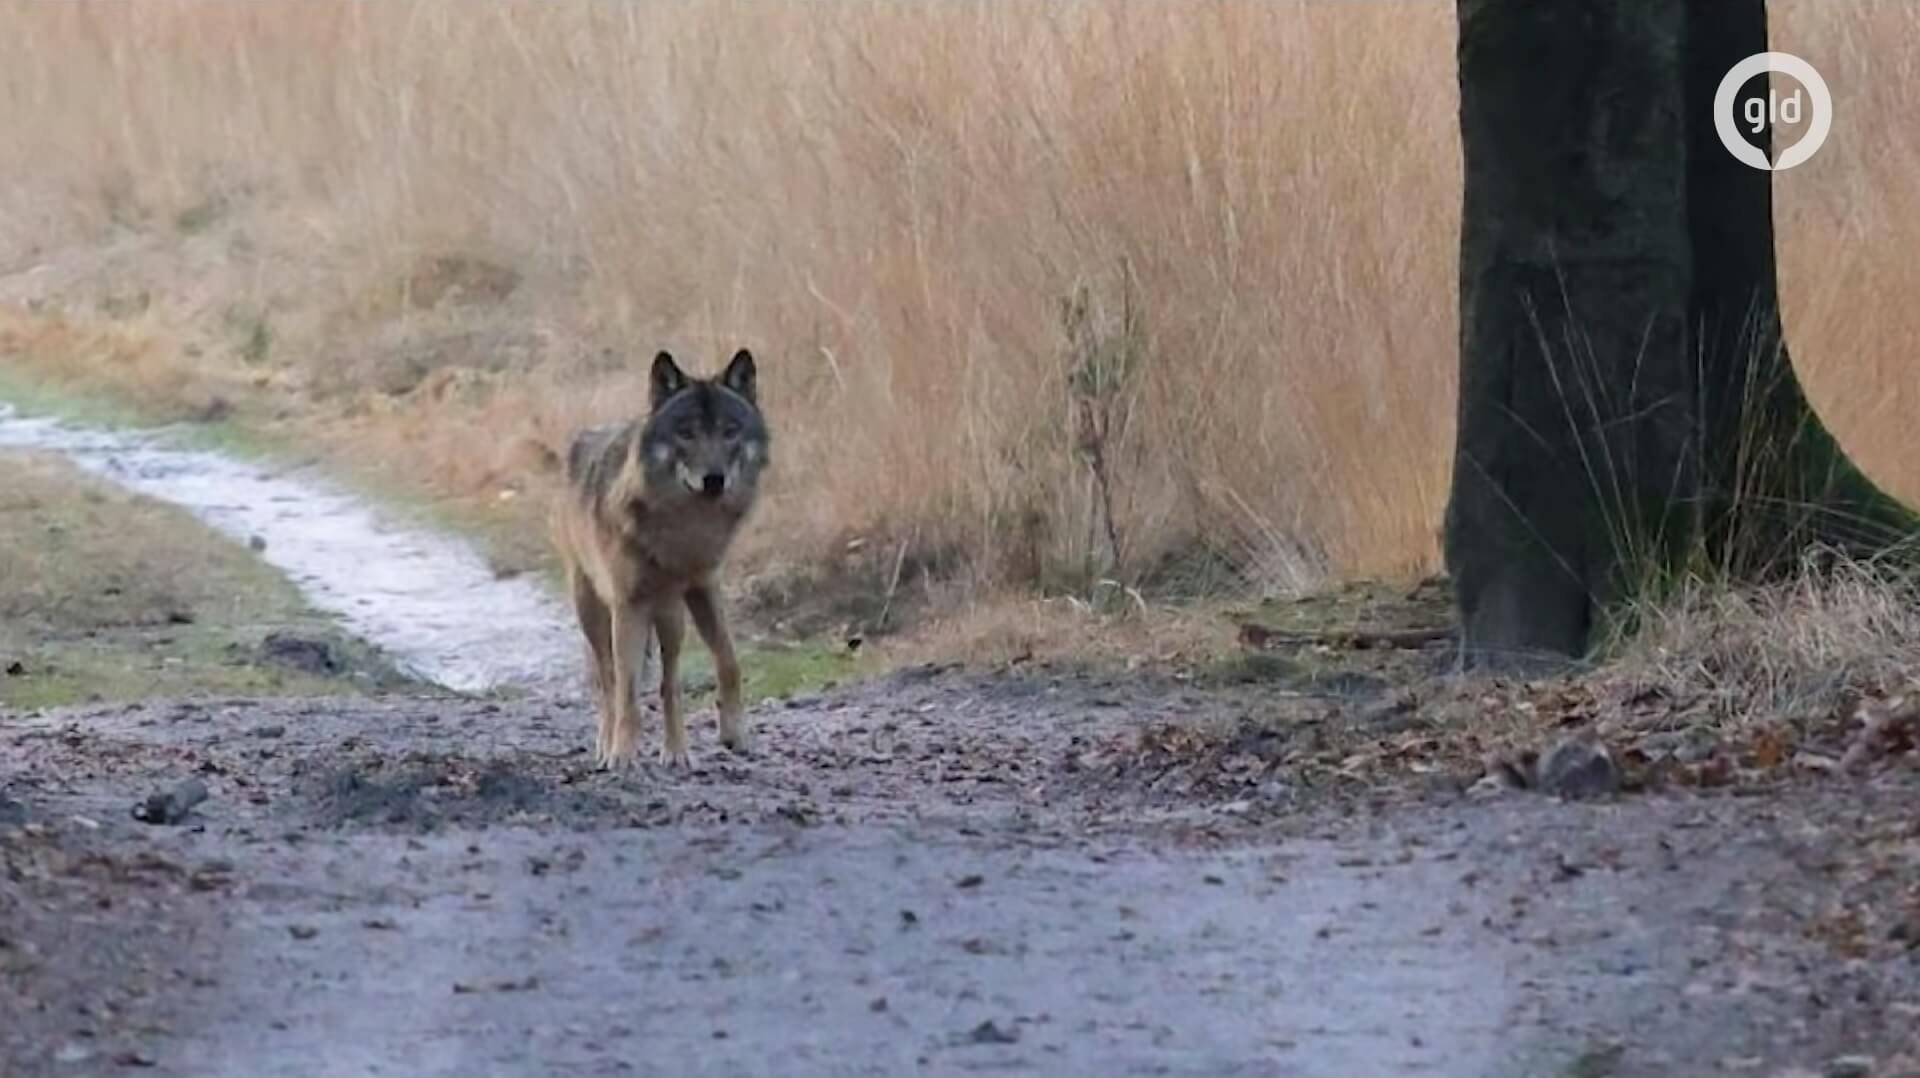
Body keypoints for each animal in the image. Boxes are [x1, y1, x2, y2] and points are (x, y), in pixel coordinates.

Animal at [550, 348, 770, 769]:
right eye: (686, 432)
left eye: (730, 431)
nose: (714, 480)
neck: (682, 528)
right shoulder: (629, 605)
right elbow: (626, 690)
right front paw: (621, 755)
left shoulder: (703, 587)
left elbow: (729, 660)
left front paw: (734, 734)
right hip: (593, 610)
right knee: (608, 681)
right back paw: (606, 744)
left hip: (671, 617)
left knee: (670, 681)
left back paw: (677, 751)